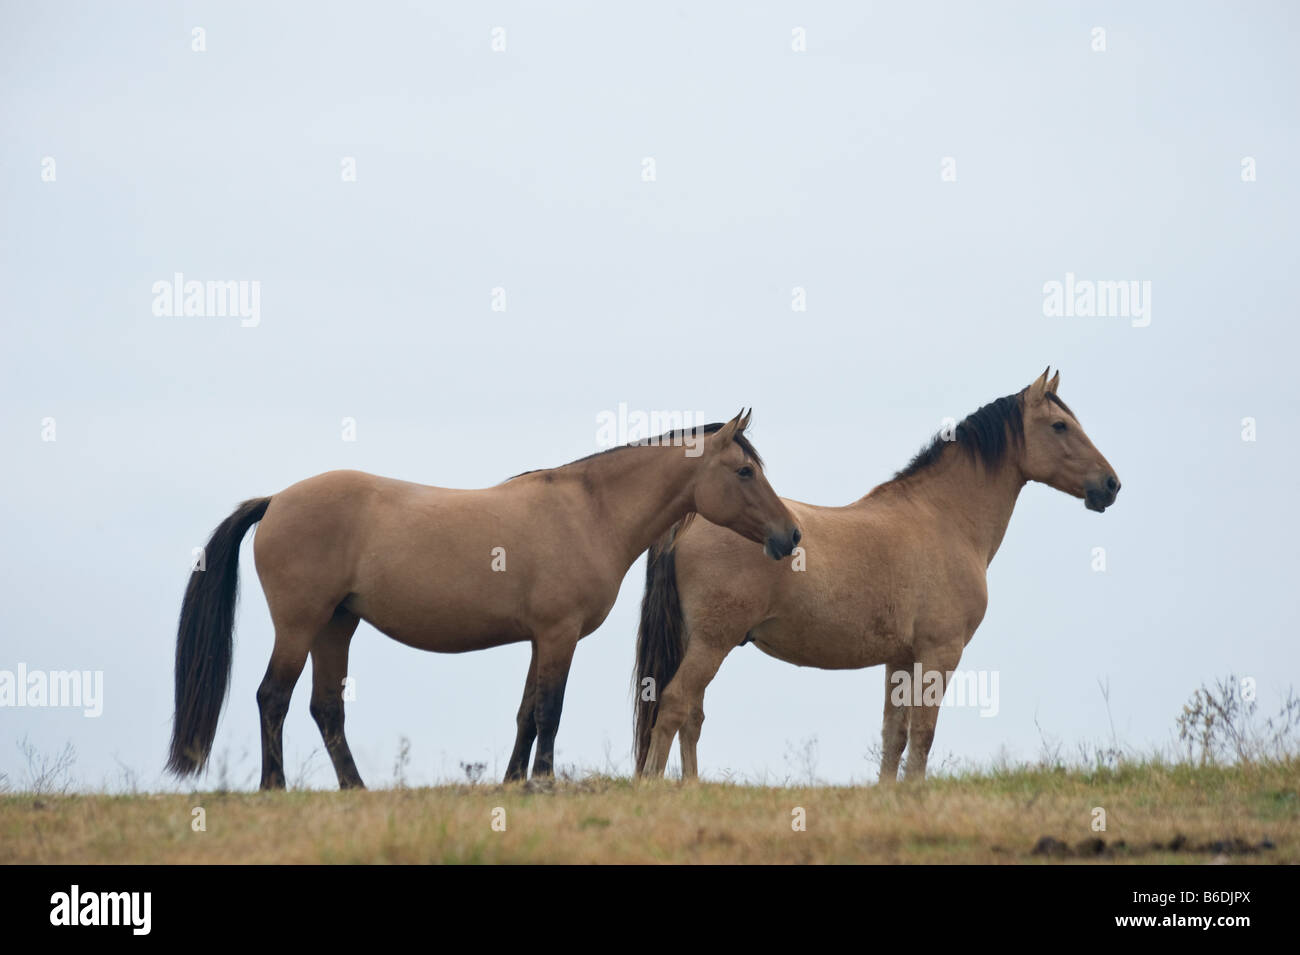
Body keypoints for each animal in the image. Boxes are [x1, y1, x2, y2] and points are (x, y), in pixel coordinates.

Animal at [167, 410, 802, 790]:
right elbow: (549, 710)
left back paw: (356, 790)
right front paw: (542, 781)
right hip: (300, 625)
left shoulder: (540, 638)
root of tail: (276, 501)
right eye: (744, 471)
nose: (790, 536)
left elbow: (526, 711)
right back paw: (274, 789)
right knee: (272, 698)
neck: (589, 512)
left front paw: (513, 782)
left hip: (336, 626)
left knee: (326, 708)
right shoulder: (558, 635)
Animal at [634, 369, 1121, 782]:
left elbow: (894, 735)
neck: (943, 516)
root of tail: (688, 522)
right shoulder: (939, 653)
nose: (1111, 485)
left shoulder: (900, 658)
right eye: (1060, 426)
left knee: (691, 716)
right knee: (675, 706)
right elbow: (923, 732)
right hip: (712, 642)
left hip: (701, 642)